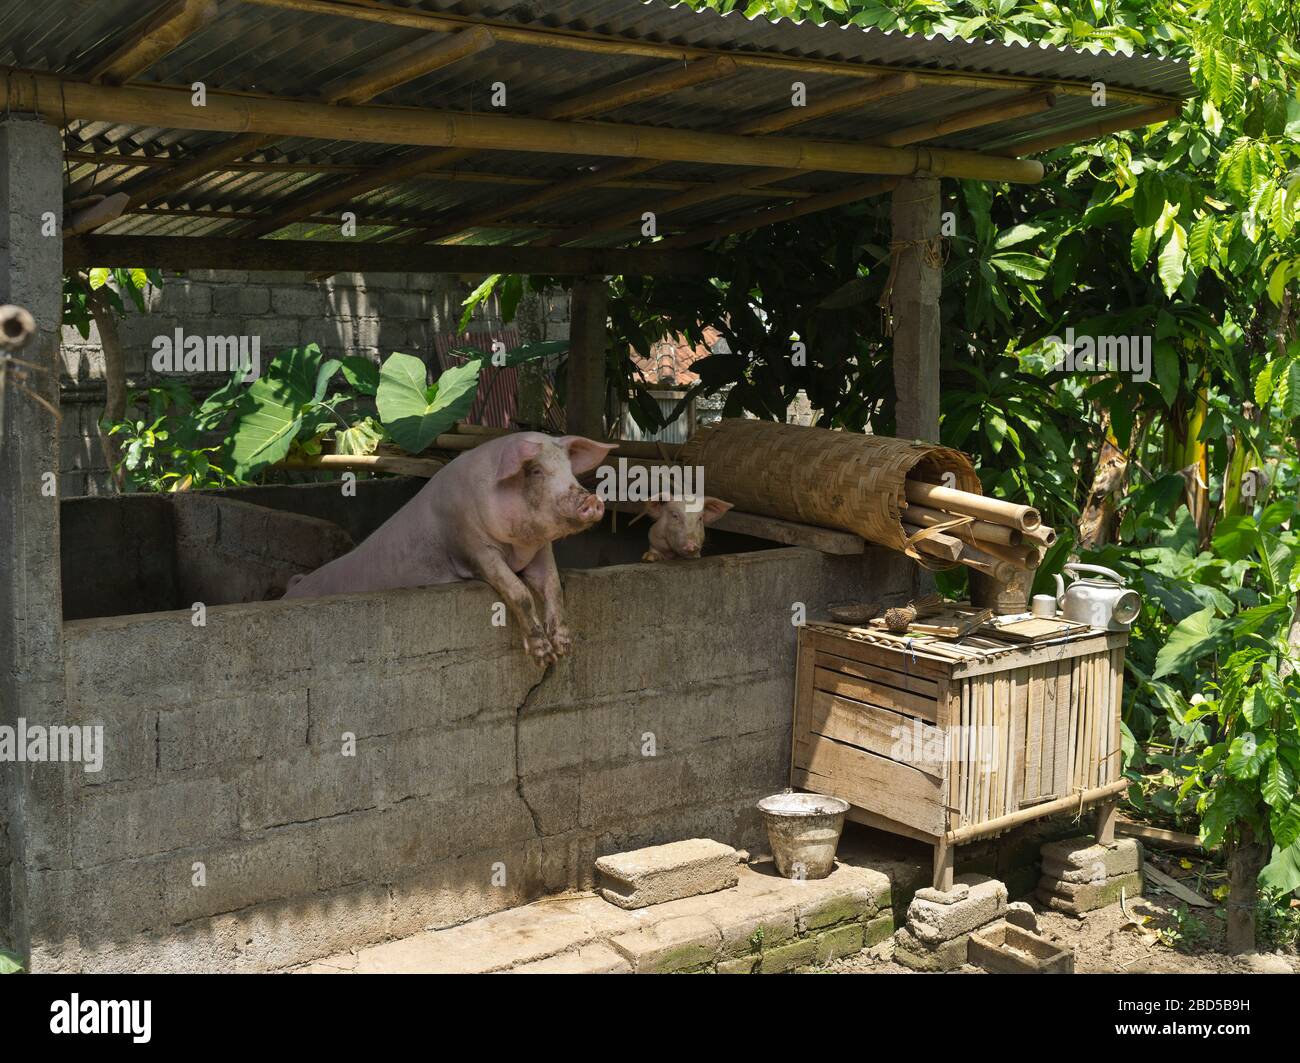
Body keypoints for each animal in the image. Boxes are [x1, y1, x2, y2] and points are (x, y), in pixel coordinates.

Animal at [283, 432, 615, 666]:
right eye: (535, 471)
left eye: (569, 470)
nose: (592, 500)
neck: (517, 548)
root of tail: (292, 589)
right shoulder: (472, 545)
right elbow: (518, 591)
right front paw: (544, 658)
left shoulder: (540, 549)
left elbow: (553, 587)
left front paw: (564, 649)